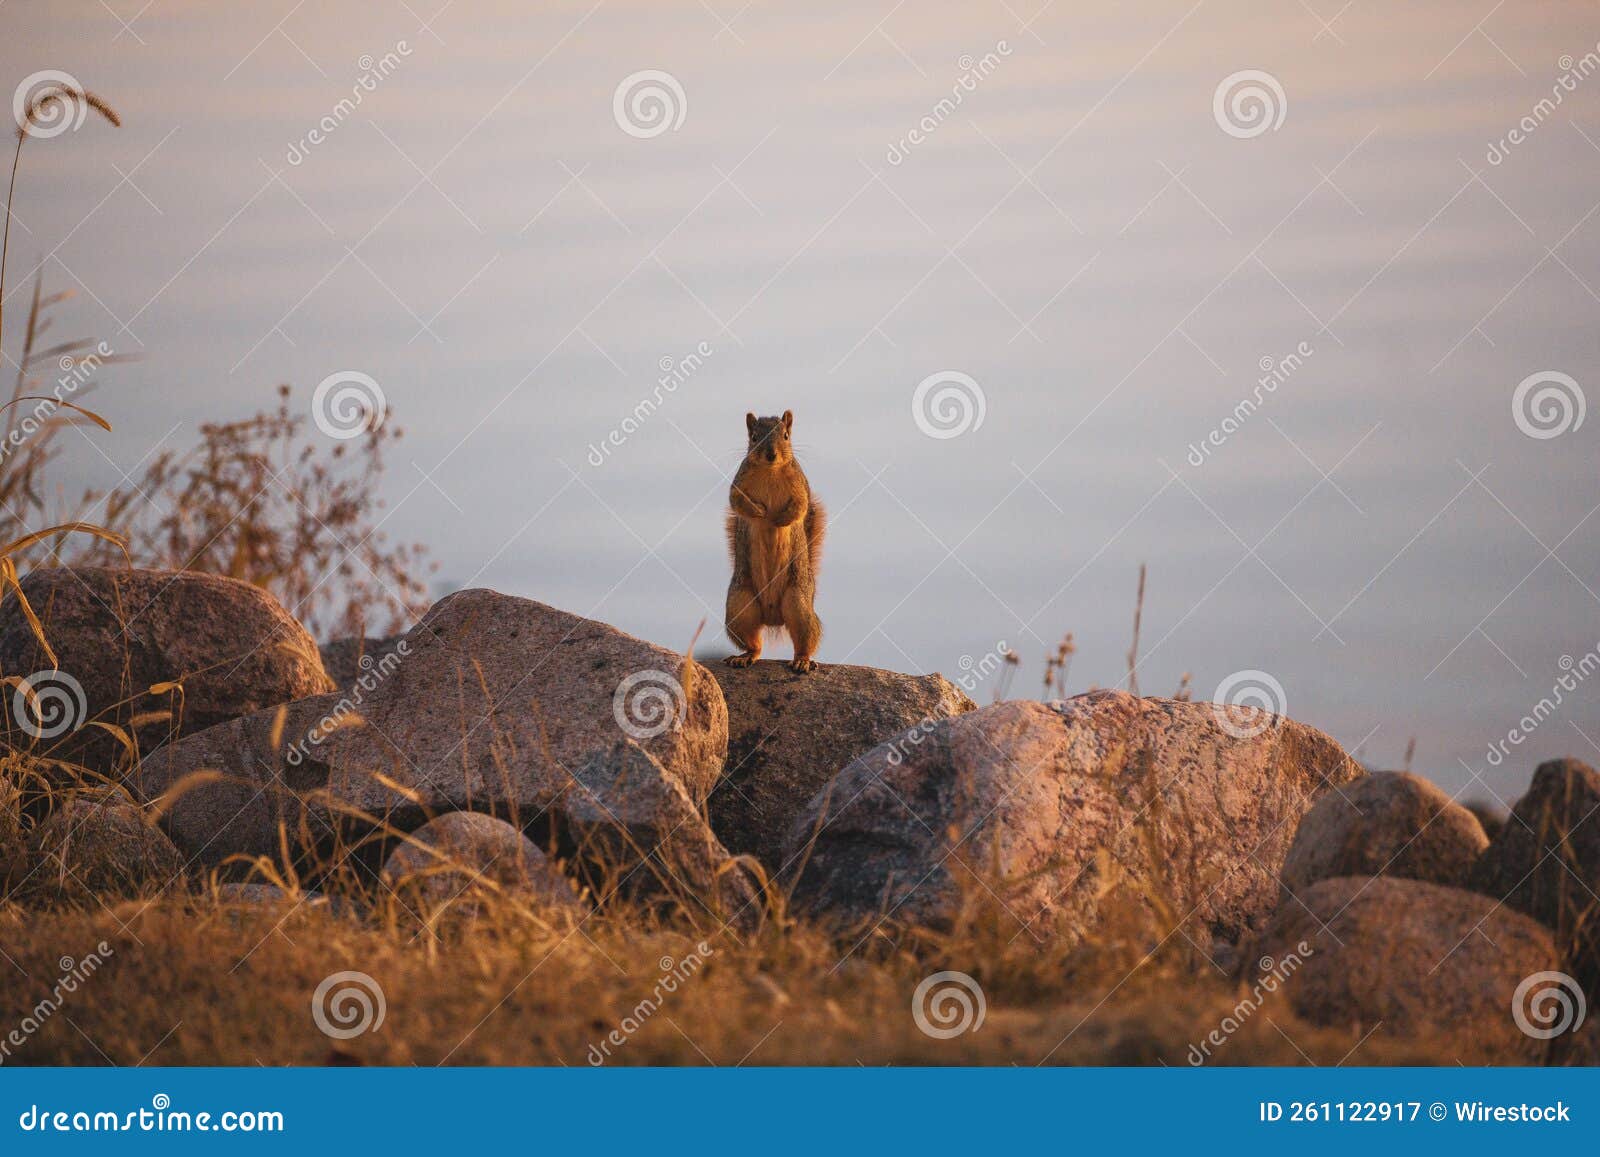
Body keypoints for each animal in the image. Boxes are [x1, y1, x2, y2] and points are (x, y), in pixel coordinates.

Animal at [724, 410, 825, 674]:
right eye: (754, 437)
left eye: (786, 436)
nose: (771, 455)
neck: (770, 470)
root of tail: (772, 618)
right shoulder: (738, 485)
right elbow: (737, 502)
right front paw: (760, 513)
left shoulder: (800, 488)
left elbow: (799, 507)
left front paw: (778, 520)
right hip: (739, 609)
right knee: (754, 644)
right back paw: (744, 657)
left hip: (799, 605)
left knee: (806, 638)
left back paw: (802, 661)